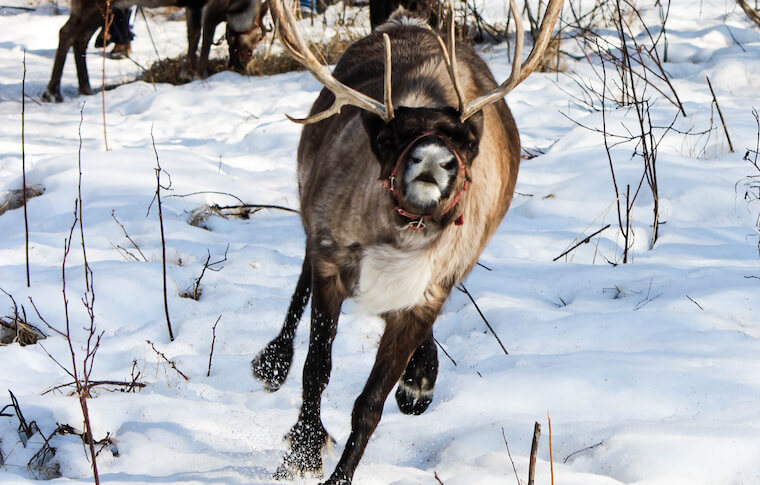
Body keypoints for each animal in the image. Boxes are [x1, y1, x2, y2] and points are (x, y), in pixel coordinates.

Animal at [41, 0, 267, 102]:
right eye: (259, 37)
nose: (243, 66)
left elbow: (195, 37)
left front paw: (188, 72)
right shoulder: (204, 6)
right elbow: (201, 37)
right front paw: (195, 74)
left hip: (104, 9)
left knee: (80, 39)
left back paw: (85, 88)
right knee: (67, 33)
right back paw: (52, 92)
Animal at [252, 0, 563, 483]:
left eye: (468, 142)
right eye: (385, 138)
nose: (433, 157)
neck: (400, 242)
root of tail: (406, 19)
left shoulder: (427, 293)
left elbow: (370, 405)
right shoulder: (330, 263)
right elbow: (316, 368)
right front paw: (302, 451)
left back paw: (419, 382)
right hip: (310, 216)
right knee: (299, 285)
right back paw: (272, 362)